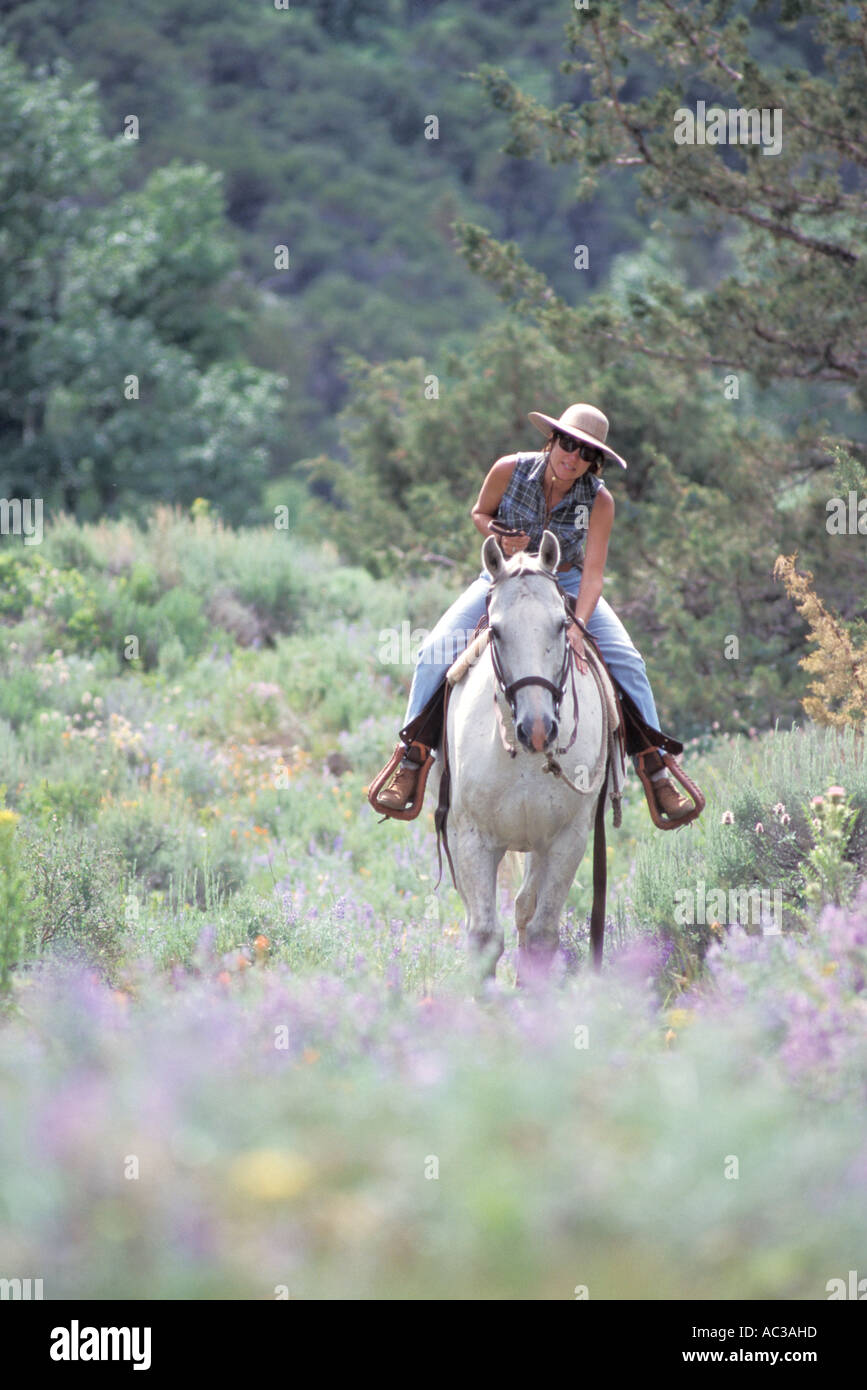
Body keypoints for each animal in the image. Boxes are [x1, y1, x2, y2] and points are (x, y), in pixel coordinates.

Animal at [434, 529, 616, 987]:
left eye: (562, 624)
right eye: (496, 631)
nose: (537, 728)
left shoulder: (567, 840)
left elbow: (540, 936)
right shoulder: (471, 838)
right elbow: (483, 937)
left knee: (524, 908)